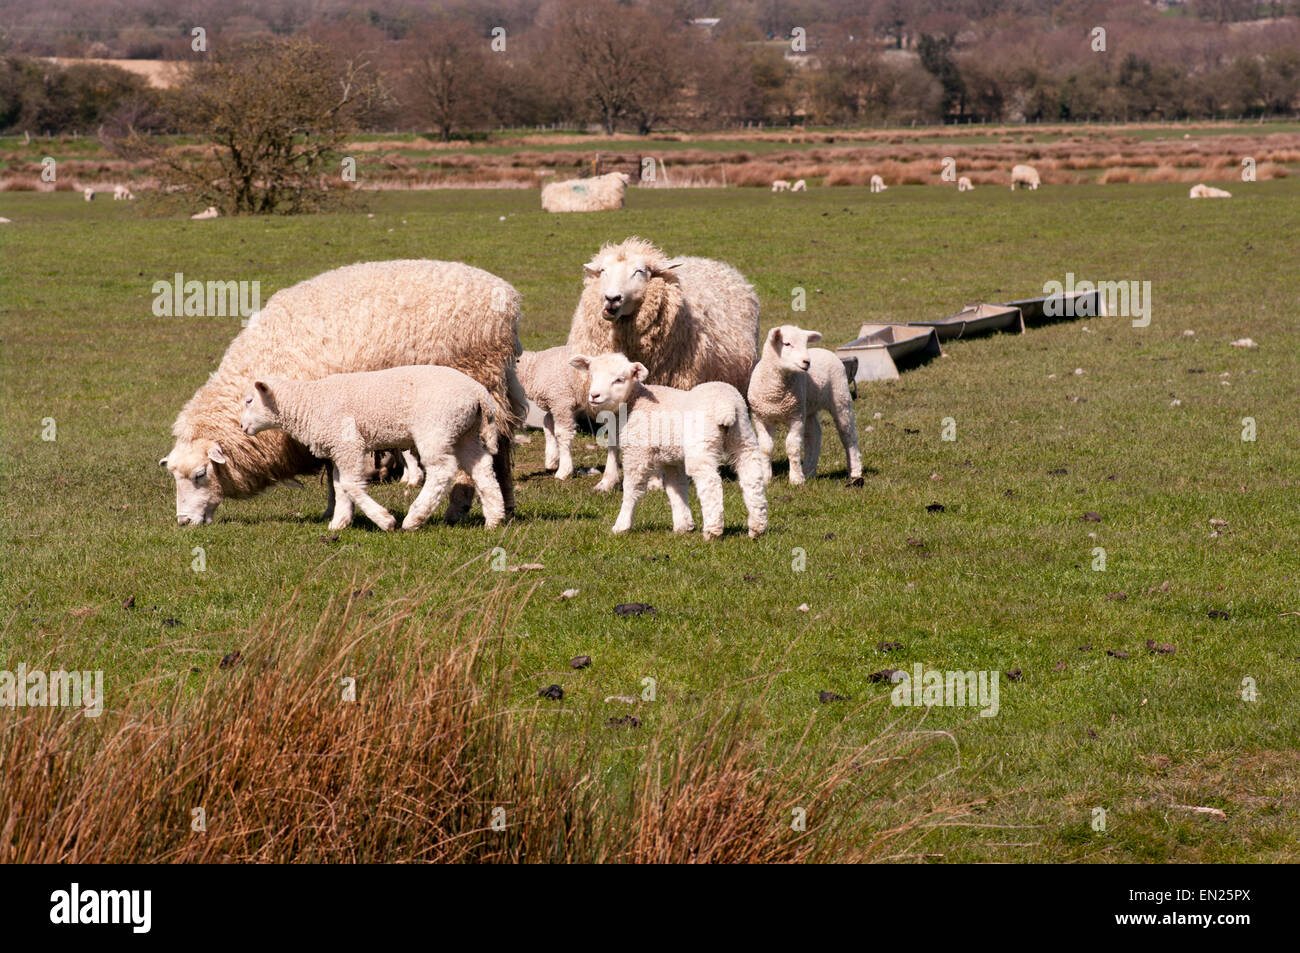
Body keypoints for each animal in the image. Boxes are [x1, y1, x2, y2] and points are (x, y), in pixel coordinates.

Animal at [238, 366, 504, 531]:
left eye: (249, 400)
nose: (242, 426)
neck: (310, 404)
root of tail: (479, 393)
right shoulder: (339, 449)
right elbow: (340, 484)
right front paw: (340, 522)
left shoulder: (348, 442)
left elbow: (349, 484)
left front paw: (385, 521)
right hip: (464, 431)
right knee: (482, 467)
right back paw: (494, 519)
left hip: (436, 427)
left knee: (442, 471)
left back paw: (414, 518)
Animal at [566, 236, 760, 491]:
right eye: (603, 271)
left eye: (640, 271)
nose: (611, 299)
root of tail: (714, 263)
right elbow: (613, 438)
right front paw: (607, 480)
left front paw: (656, 481)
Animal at [570, 352, 767, 540]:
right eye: (592, 375)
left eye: (619, 379)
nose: (594, 396)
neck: (634, 401)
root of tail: (727, 405)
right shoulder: (670, 459)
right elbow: (676, 488)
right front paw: (683, 525)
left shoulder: (637, 452)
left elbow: (632, 489)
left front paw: (622, 525)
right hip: (743, 437)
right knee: (751, 476)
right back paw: (757, 527)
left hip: (702, 444)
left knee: (710, 483)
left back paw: (713, 531)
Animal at [747, 325, 862, 485]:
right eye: (787, 343)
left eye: (806, 344)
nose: (807, 362)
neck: (775, 394)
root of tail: (826, 351)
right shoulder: (761, 418)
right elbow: (765, 448)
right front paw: (765, 477)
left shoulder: (796, 417)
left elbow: (792, 447)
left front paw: (796, 479)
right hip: (808, 408)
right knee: (814, 435)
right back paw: (809, 471)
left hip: (841, 398)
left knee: (849, 436)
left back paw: (855, 472)